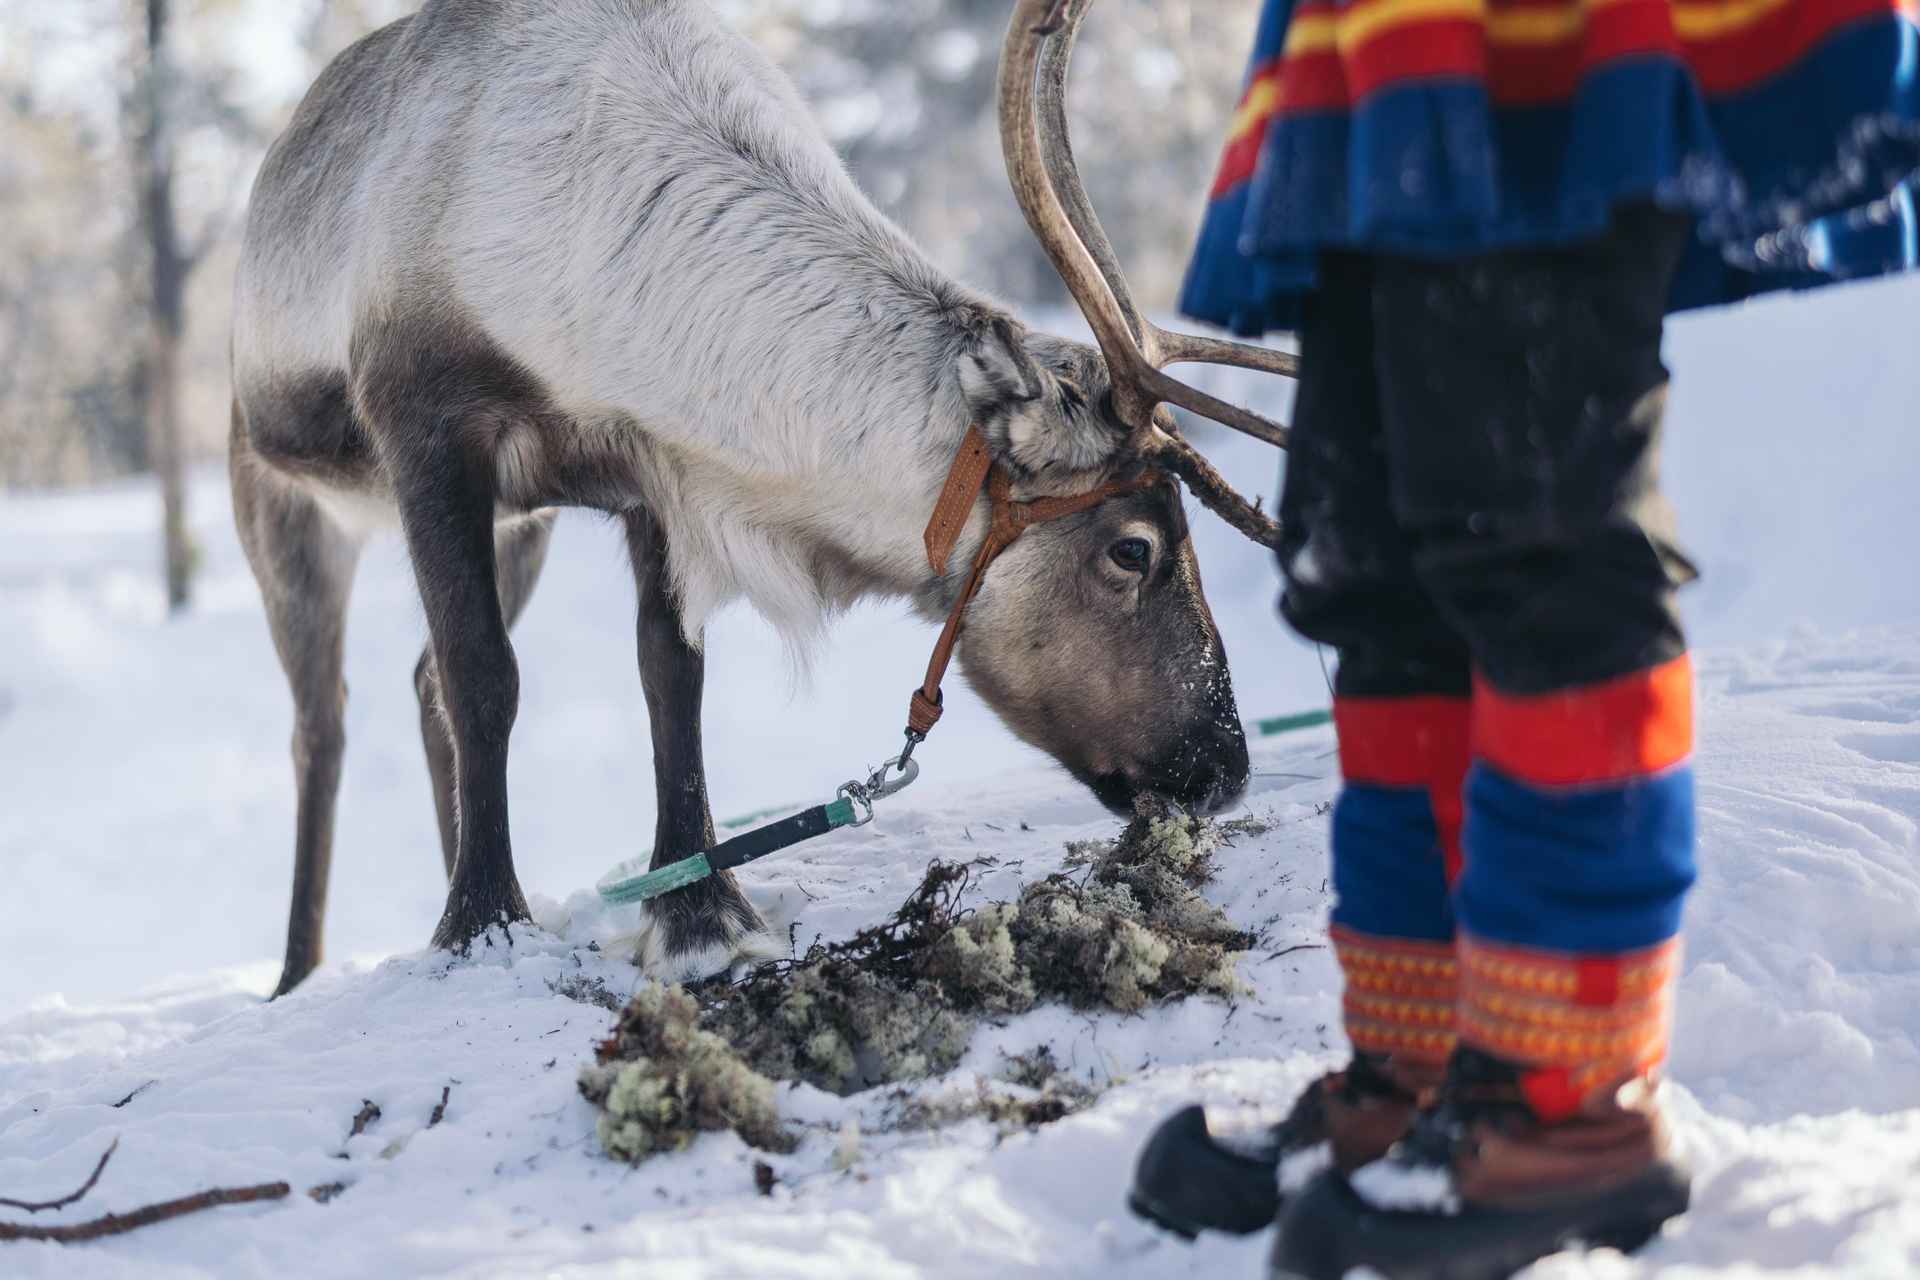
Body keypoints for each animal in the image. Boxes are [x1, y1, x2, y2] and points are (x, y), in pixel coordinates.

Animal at [230, 0, 1297, 997]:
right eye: (1132, 547)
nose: (1225, 769)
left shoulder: (656, 473)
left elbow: (672, 674)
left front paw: (700, 913)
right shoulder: (429, 429)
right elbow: (486, 676)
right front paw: (483, 927)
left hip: (520, 527)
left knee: (416, 682)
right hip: (282, 504)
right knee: (323, 724)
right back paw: (302, 971)